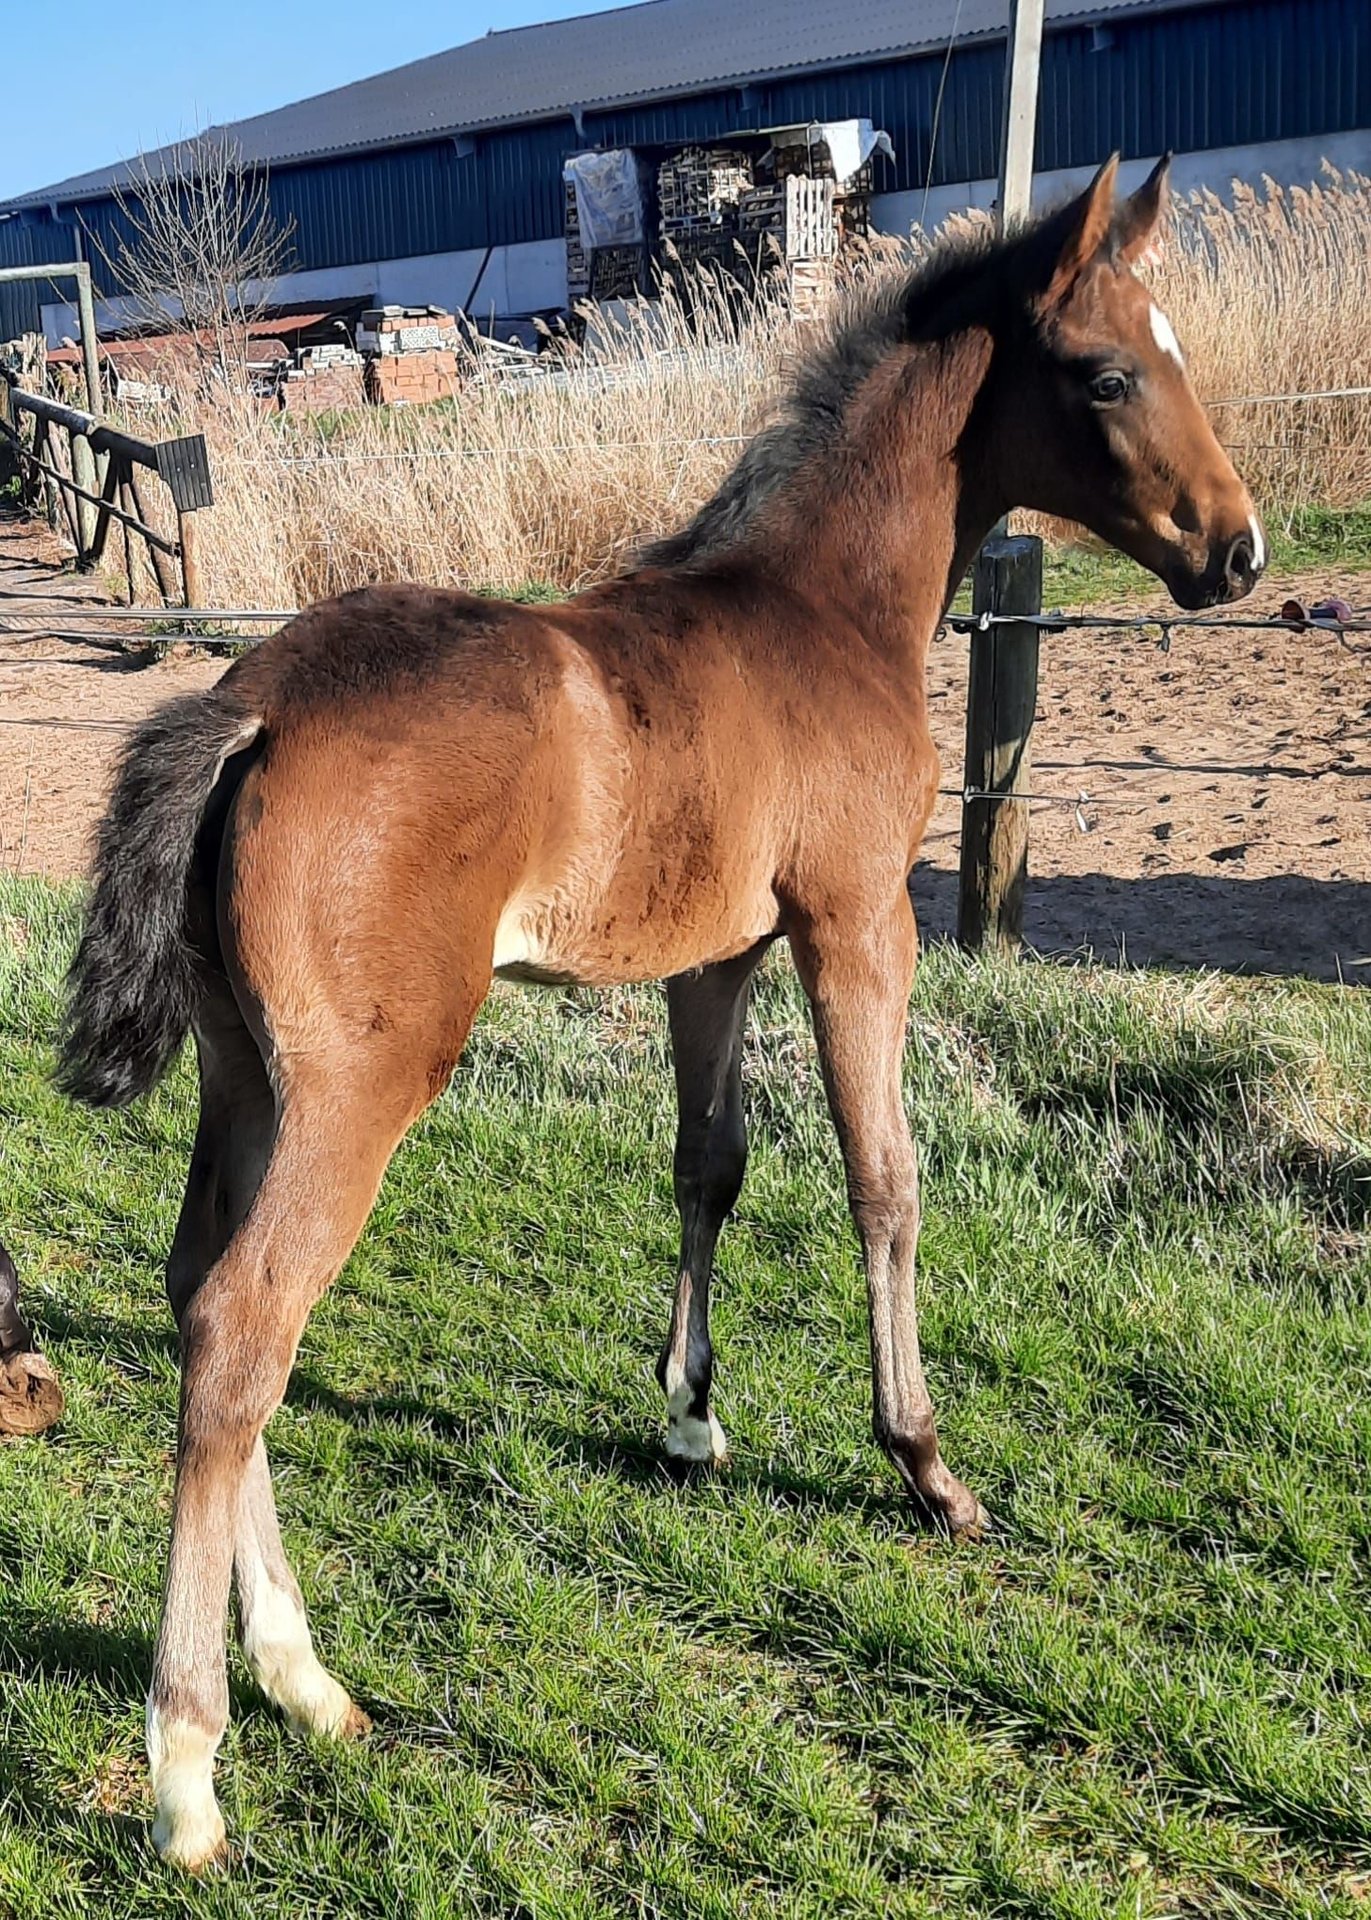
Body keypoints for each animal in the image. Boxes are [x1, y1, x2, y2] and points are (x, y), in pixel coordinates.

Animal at [58, 154, 1264, 1869]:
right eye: (1105, 372)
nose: (1233, 553)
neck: (816, 610)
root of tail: (251, 705)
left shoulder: (716, 957)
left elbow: (709, 1167)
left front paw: (691, 1420)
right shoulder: (853, 923)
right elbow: (881, 1182)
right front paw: (923, 1465)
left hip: (246, 1076)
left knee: (193, 1295)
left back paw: (305, 1681)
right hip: (360, 1085)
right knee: (245, 1328)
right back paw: (193, 1763)